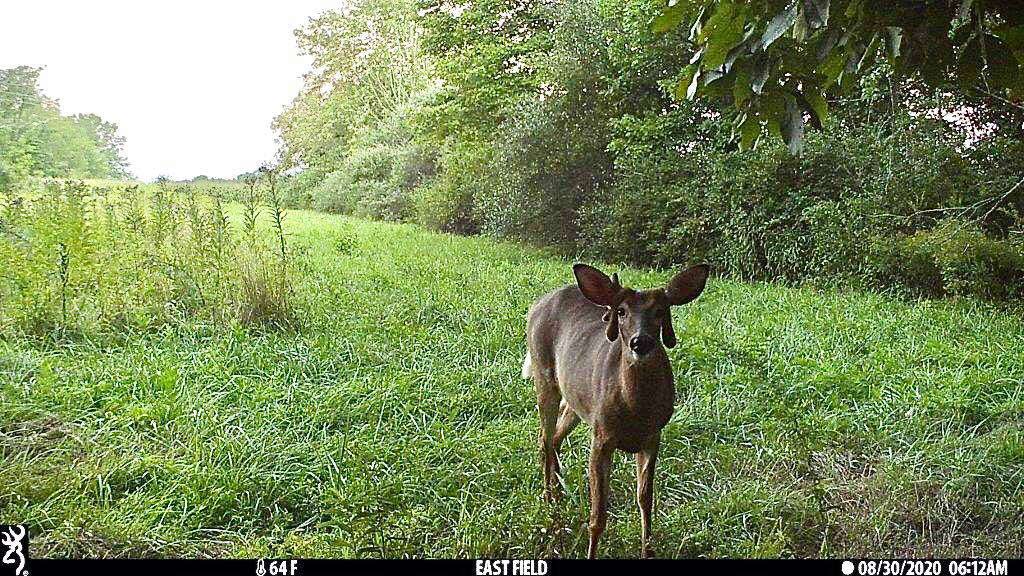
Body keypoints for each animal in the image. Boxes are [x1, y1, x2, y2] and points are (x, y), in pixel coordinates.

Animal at [521, 262, 710, 558]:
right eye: (621, 311)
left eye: (660, 311)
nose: (640, 342)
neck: (635, 410)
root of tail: (537, 304)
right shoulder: (601, 437)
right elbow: (598, 515)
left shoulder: (653, 437)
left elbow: (645, 500)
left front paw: (647, 551)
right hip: (544, 376)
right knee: (544, 438)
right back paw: (549, 497)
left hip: (577, 400)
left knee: (555, 438)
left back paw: (559, 492)